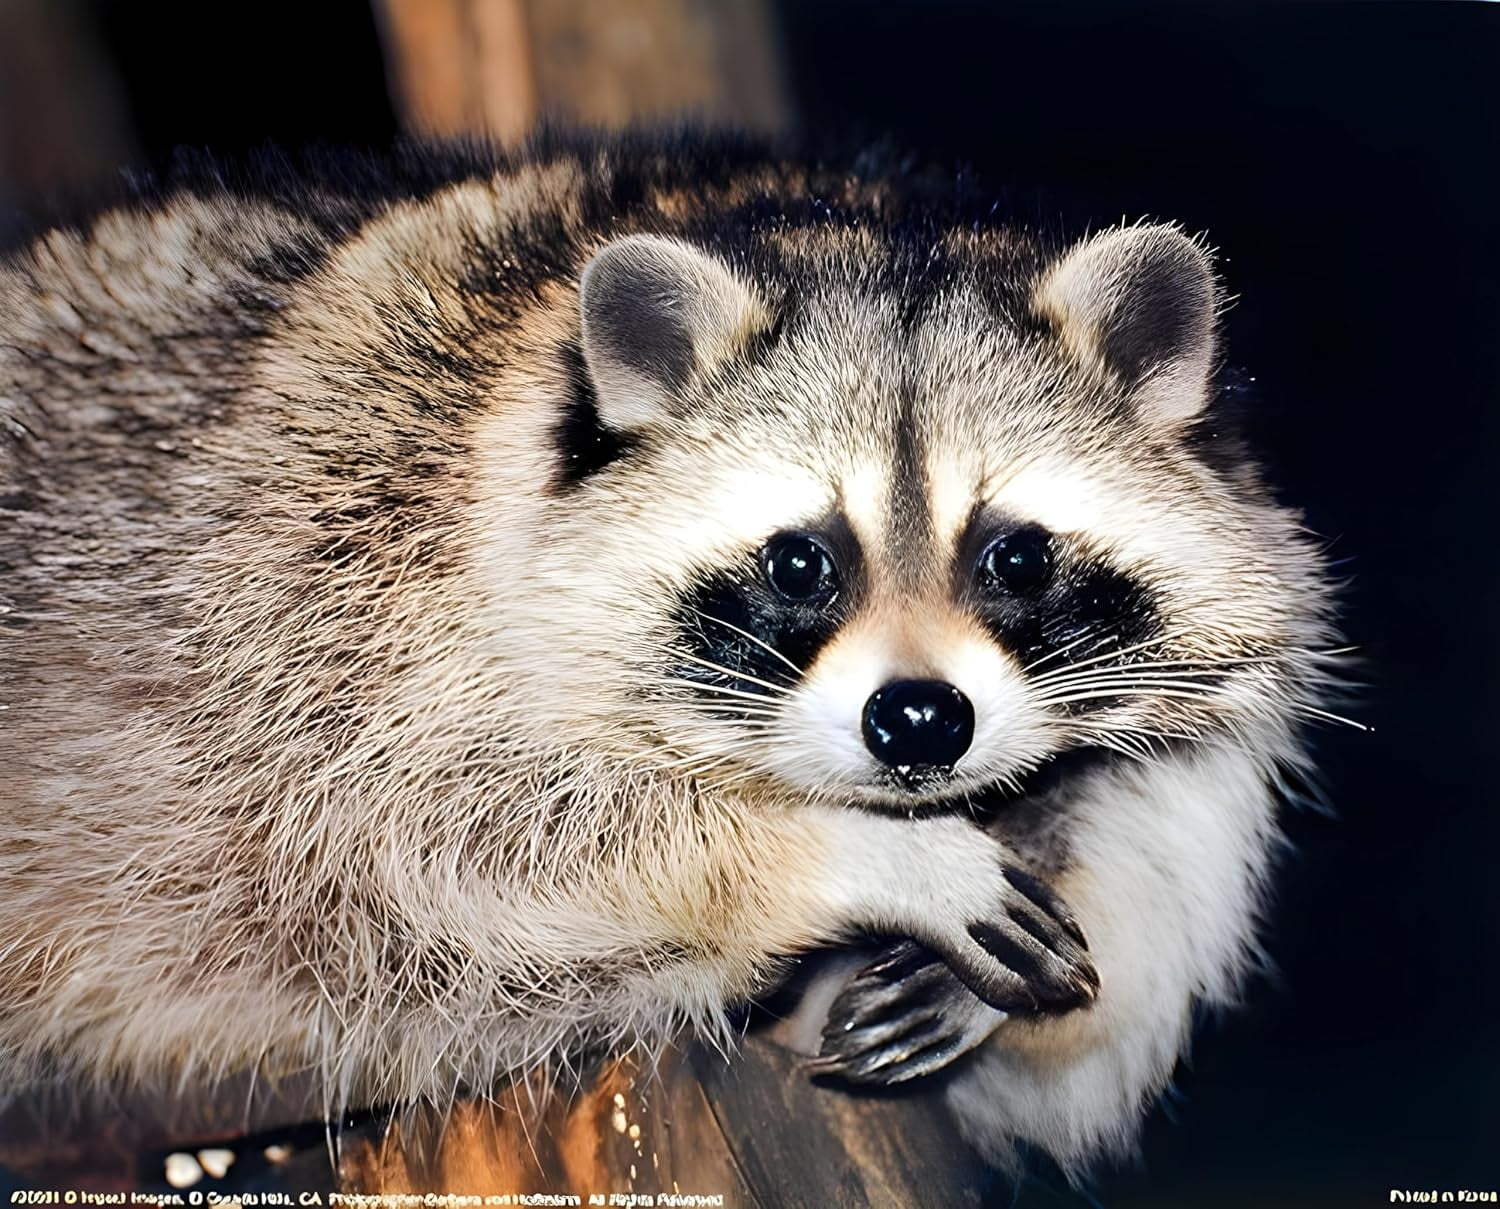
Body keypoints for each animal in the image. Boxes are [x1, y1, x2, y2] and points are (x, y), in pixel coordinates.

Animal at [0, 137, 1338, 1174]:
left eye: (1014, 557)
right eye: (801, 563)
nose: (918, 722)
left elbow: (1165, 828)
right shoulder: (336, 611)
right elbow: (445, 843)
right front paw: (854, 858)